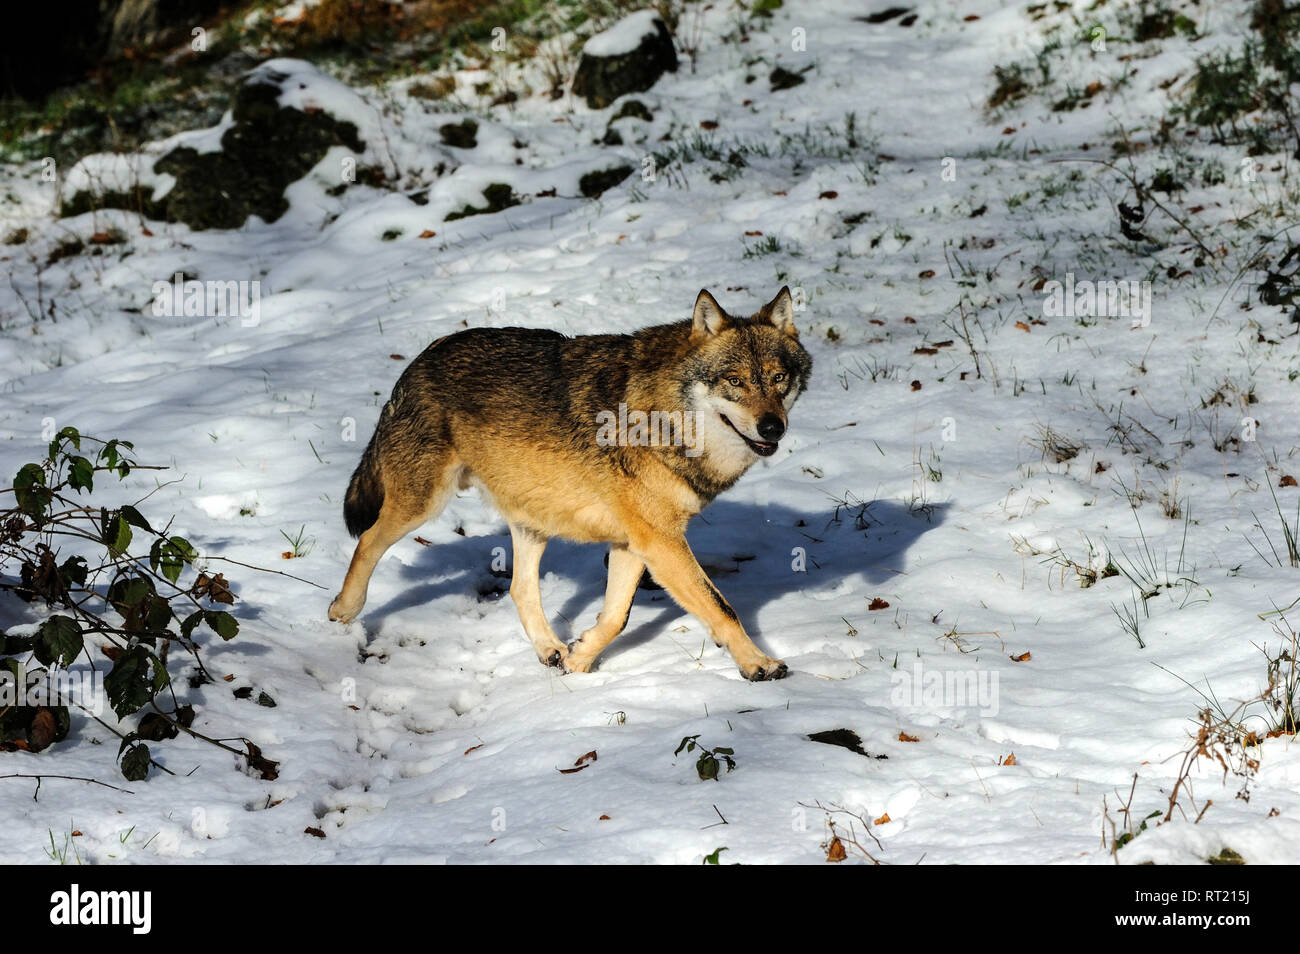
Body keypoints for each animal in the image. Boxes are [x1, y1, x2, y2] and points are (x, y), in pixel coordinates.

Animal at [329, 286, 813, 680]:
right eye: (735, 381)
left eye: (779, 378)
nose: (773, 427)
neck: (666, 416)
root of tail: (424, 354)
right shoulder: (661, 541)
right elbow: (721, 607)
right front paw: (759, 665)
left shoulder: (636, 542)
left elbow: (616, 616)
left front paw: (580, 660)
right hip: (423, 504)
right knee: (367, 541)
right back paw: (342, 612)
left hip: (532, 522)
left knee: (520, 590)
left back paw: (551, 651)